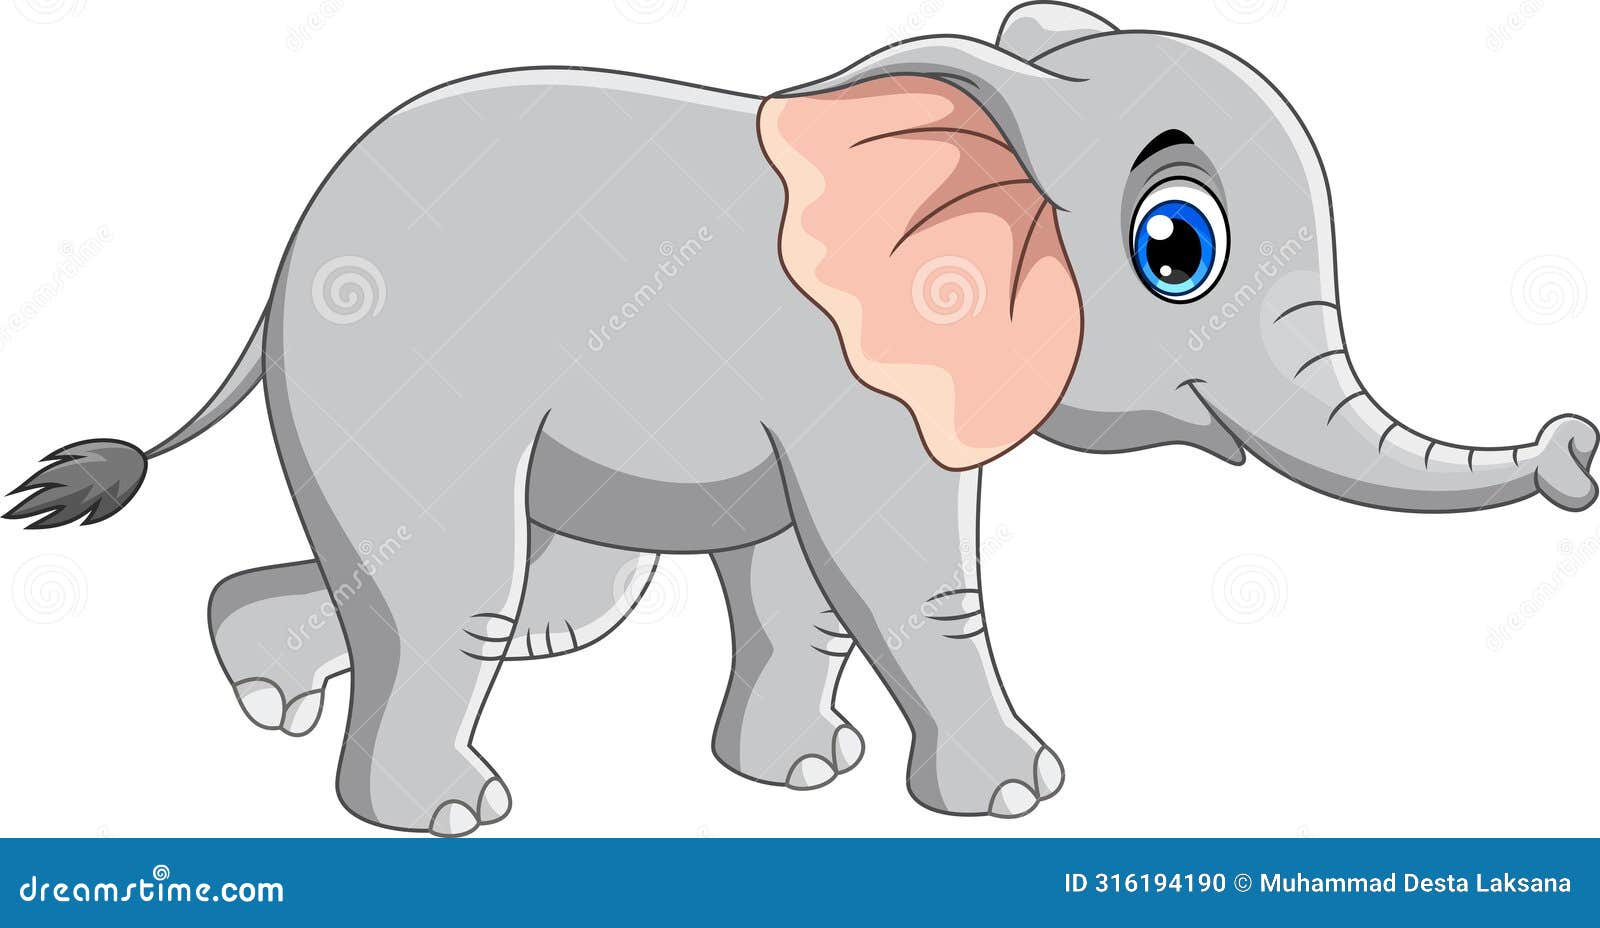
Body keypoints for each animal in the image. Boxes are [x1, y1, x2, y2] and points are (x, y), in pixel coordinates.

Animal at [8, 3, 1596, 836]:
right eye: (1173, 249)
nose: (1575, 447)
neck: (1000, 100)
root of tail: (281, 264)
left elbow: (805, 581)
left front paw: (802, 779)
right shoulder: (860, 384)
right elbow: (895, 570)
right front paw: (1019, 796)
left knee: (547, 597)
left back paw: (259, 687)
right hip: (406, 365)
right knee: (474, 582)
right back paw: (449, 815)